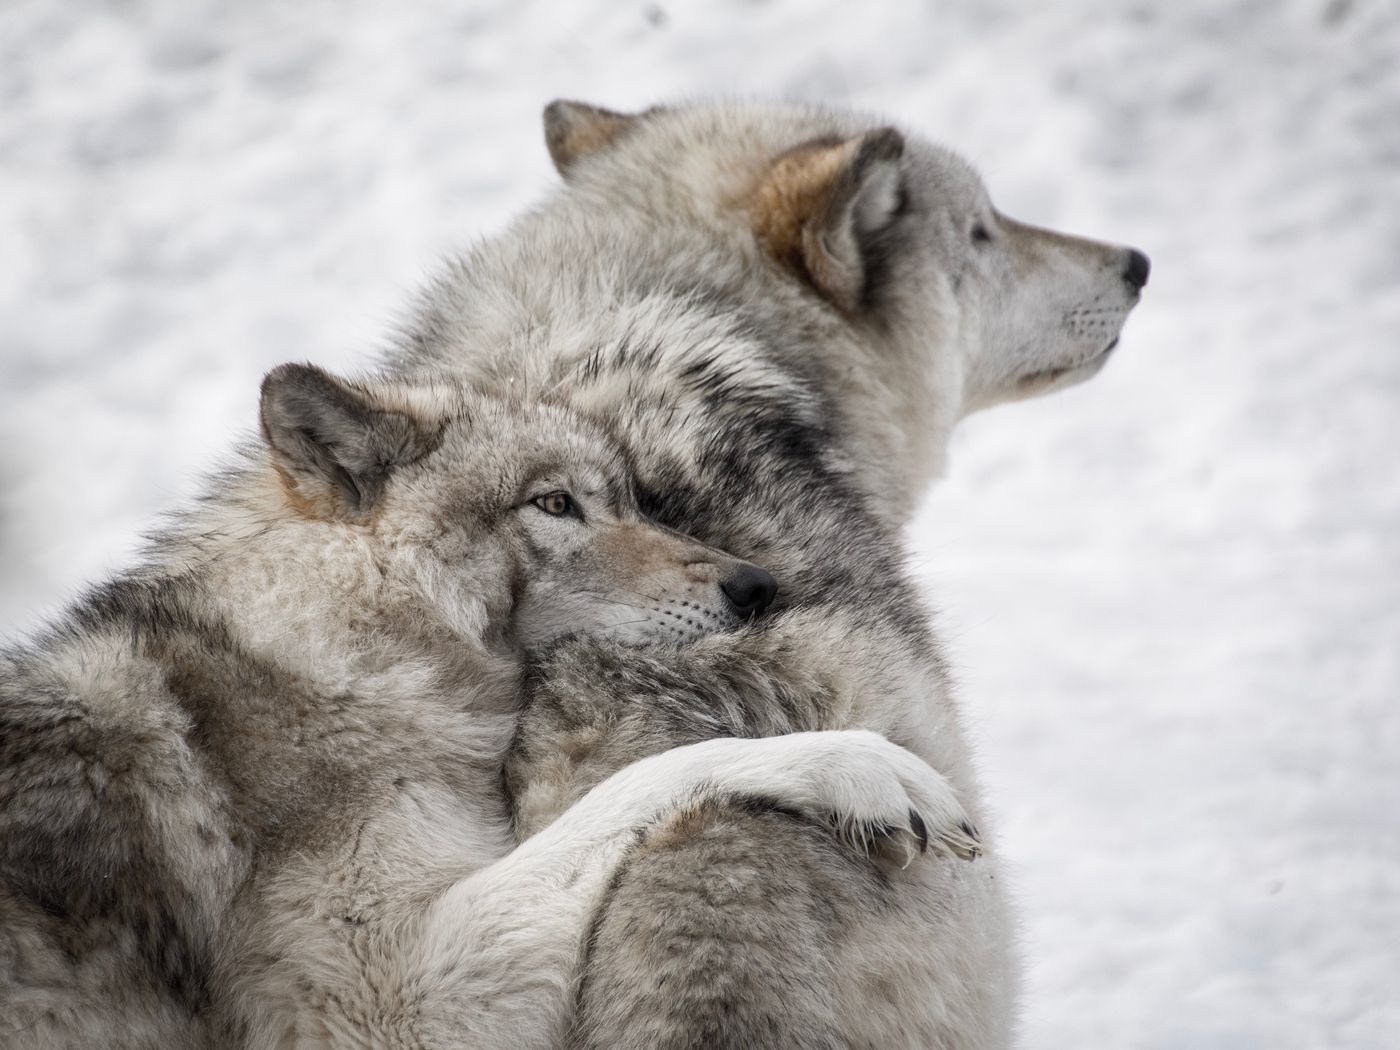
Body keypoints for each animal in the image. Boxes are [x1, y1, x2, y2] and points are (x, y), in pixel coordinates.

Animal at [0, 364, 979, 1048]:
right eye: (554, 504)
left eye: (629, 499)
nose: (755, 586)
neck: (338, 651)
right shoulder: (396, 1003)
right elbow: (653, 775)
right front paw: (861, 767)